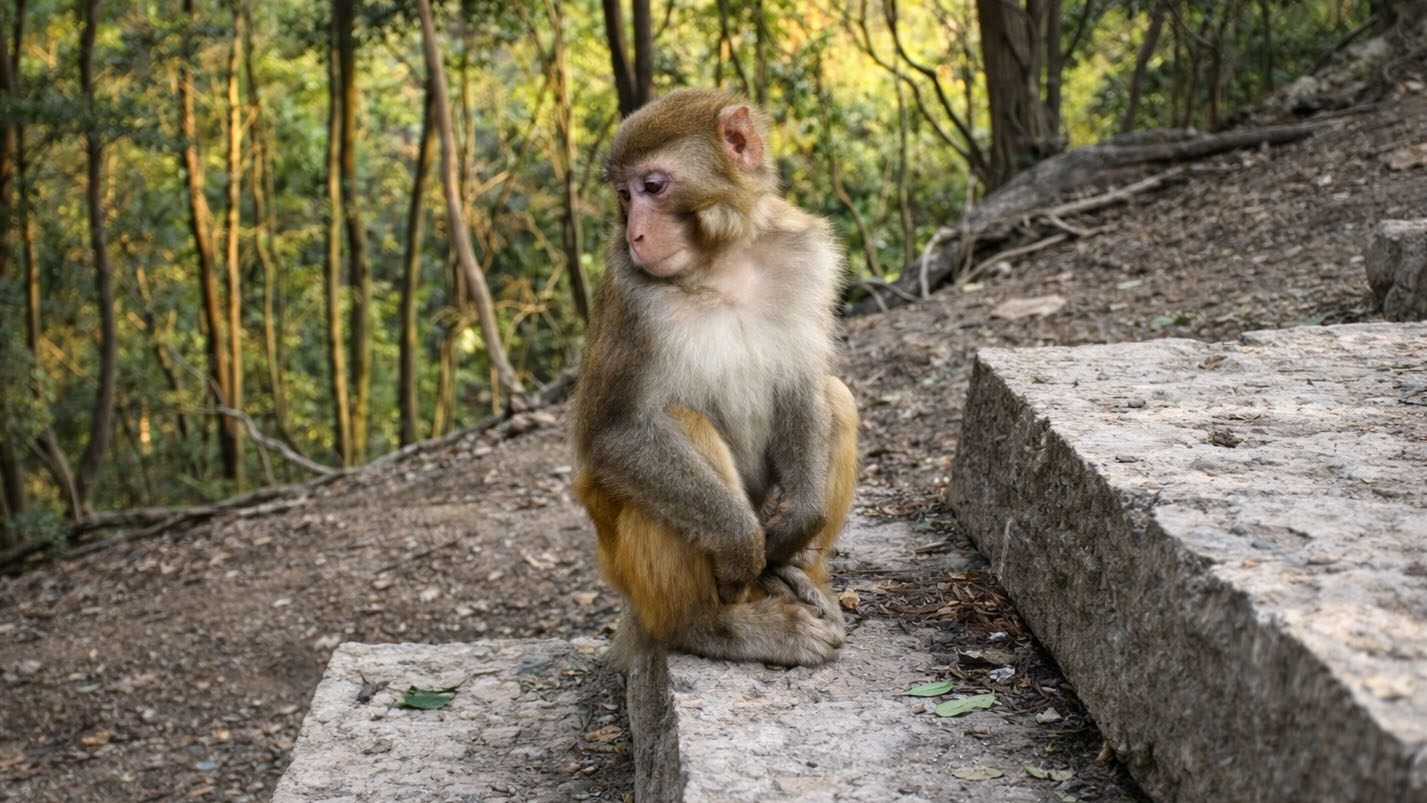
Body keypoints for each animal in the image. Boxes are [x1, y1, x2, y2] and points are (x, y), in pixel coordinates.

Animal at [571, 88, 859, 669]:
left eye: (652, 187)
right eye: (624, 194)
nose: (635, 233)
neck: (722, 260)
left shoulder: (809, 258)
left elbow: (802, 385)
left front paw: (798, 523)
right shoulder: (627, 296)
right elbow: (613, 434)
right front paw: (741, 543)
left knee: (835, 397)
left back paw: (789, 573)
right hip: (623, 569)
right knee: (679, 423)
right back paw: (710, 627)